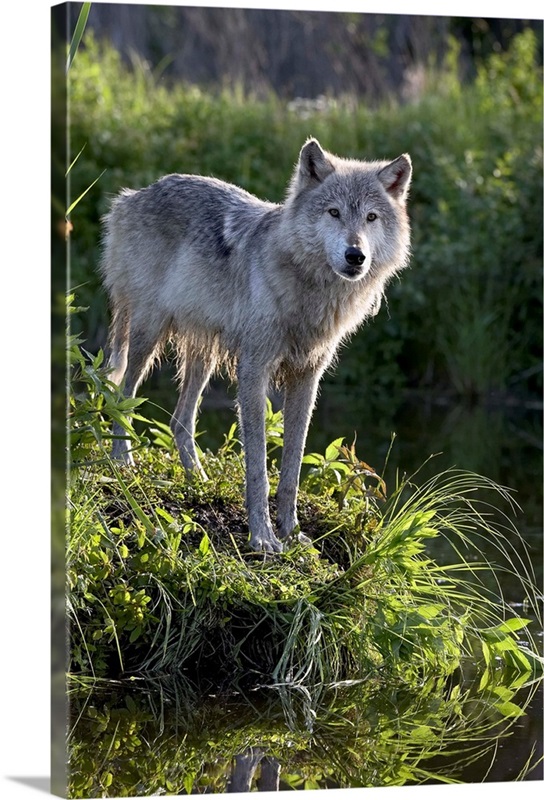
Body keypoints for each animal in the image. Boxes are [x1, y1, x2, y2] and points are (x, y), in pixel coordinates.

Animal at [100, 138, 412, 553]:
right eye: (334, 212)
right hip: (147, 335)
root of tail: (133, 195)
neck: (309, 293)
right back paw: (123, 463)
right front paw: (262, 537)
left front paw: (292, 532)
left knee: (180, 421)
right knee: (124, 395)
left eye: (372, 218)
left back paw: (197, 480)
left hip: (204, 358)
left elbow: (293, 467)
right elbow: (258, 466)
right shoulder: (253, 370)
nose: (355, 255)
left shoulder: (307, 378)